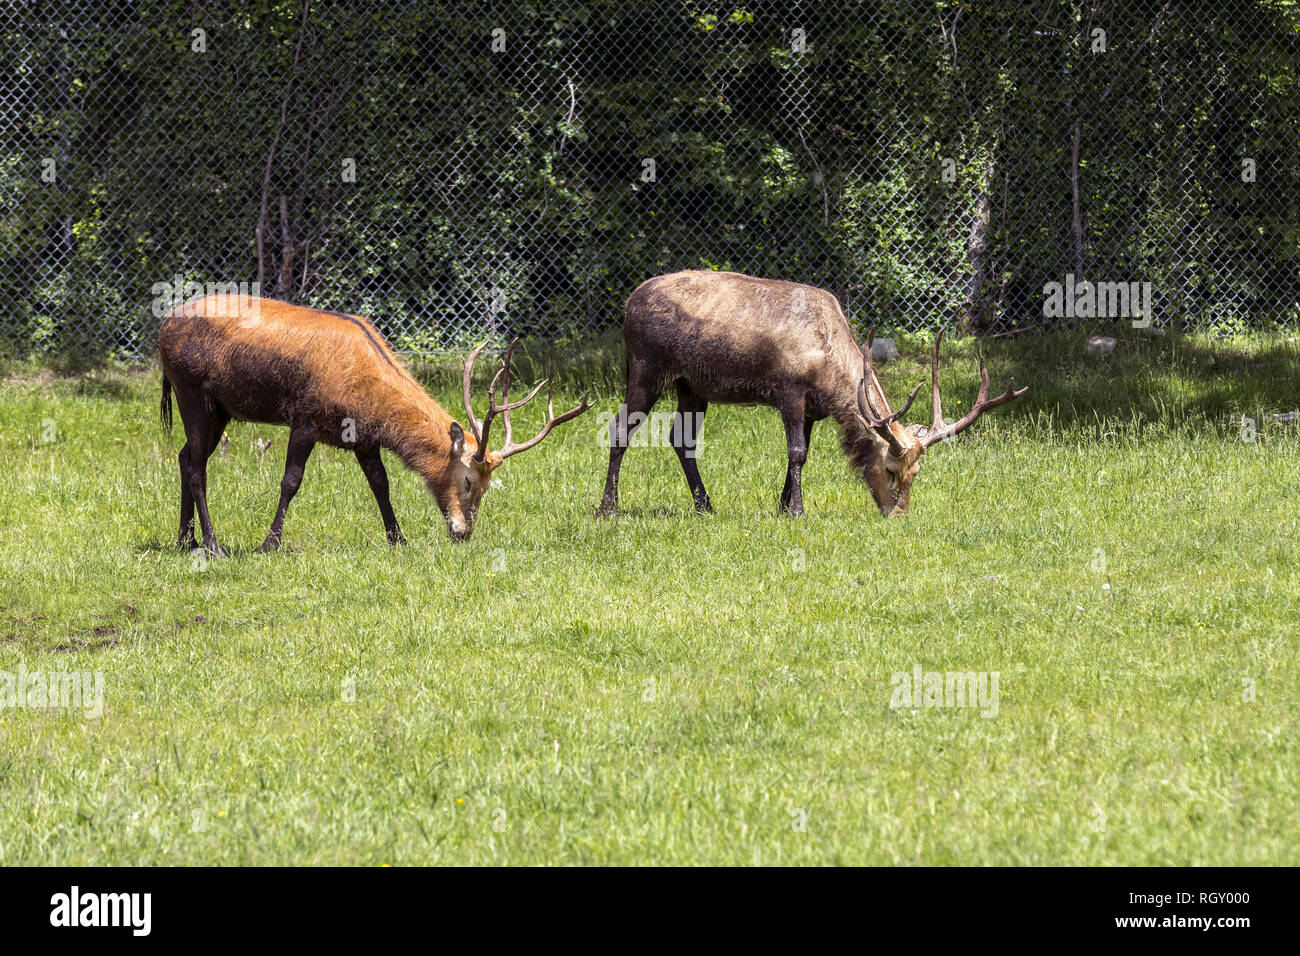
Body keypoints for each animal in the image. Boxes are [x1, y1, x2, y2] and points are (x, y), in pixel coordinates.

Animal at [158, 294, 591, 554]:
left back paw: (184, 539)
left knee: (184, 457)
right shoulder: (305, 417)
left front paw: (398, 539)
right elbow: (291, 481)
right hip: (190, 392)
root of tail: (163, 327)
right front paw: (271, 544)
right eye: (469, 481)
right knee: (197, 466)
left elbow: (381, 484)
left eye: (487, 485)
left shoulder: (363, 437)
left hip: (220, 408)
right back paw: (212, 543)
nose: (463, 532)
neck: (366, 394)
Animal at [597, 270, 1026, 518]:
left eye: (916, 474)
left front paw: (782, 505)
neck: (829, 377)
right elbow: (797, 453)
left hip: (692, 385)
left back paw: (705, 506)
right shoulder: (788, 390)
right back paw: (608, 508)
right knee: (620, 430)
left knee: (681, 440)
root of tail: (629, 303)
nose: (899, 515)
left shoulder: (813, 409)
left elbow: (802, 456)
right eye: (890, 470)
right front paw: (797, 512)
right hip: (647, 368)